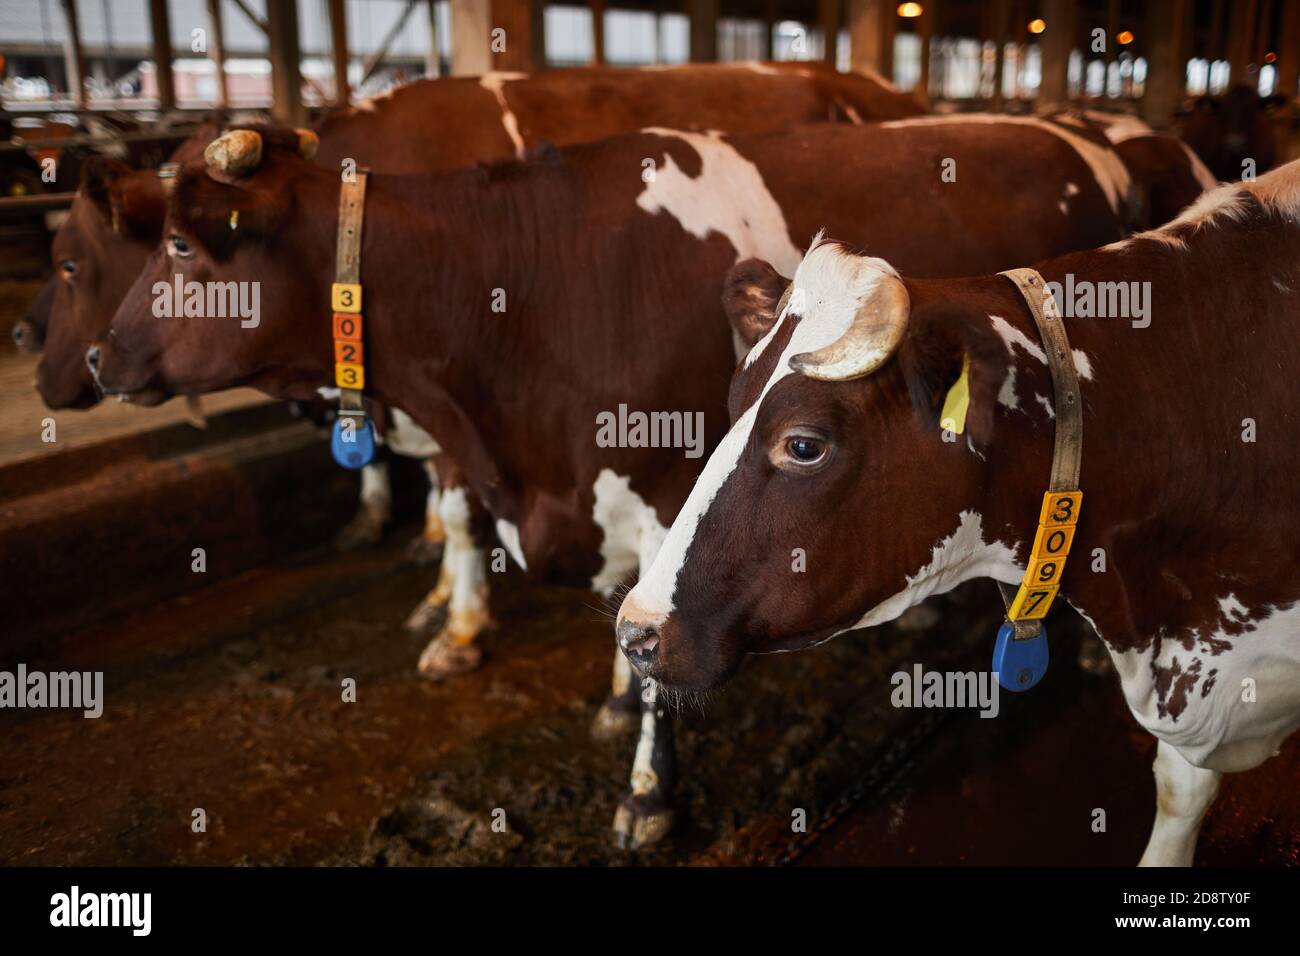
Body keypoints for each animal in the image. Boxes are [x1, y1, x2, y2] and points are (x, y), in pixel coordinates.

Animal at [89, 115, 1136, 847]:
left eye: (178, 248)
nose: (99, 358)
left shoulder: (682, 489)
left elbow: (662, 639)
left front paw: (647, 794)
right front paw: (611, 701)